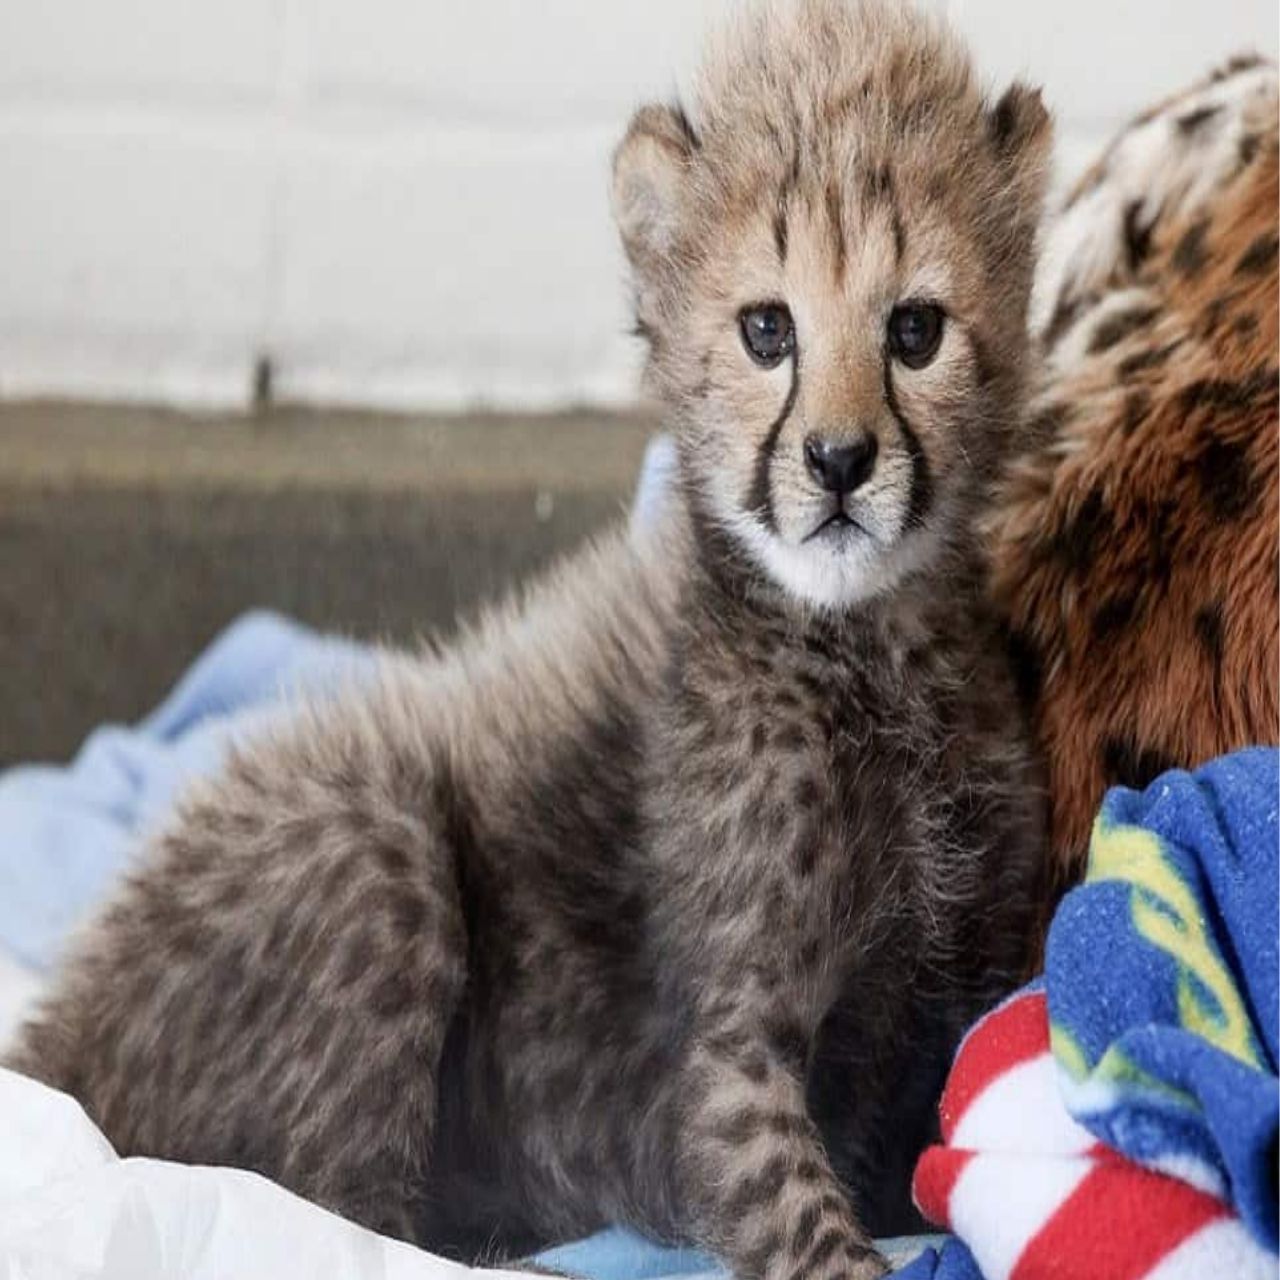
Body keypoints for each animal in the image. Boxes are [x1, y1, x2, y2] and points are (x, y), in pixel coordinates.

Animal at [7, 4, 1048, 1277]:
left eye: (913, 330)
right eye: (767, 329)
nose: (840, 460)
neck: (866, 646)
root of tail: (59, 1034)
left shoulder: (963, 987)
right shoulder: (725, 1057)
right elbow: (805, 1220)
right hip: (372, 844)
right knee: (331, 1208)